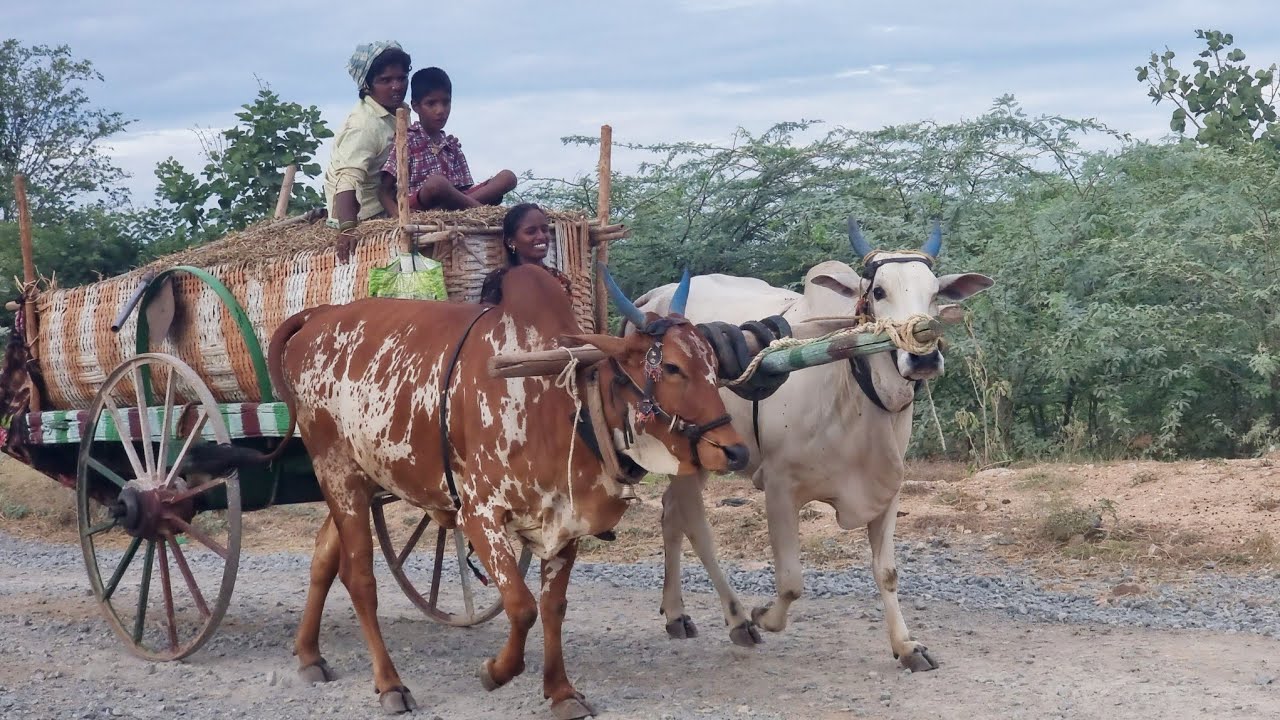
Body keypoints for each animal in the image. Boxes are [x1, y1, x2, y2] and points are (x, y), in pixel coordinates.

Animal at [199, 263, 748, 718]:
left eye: (714, 365)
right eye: (671, 367)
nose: (736, 452)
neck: (559, 402)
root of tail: (318, 315)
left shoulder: (564, 526)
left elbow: (552, 609)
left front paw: (561, 691)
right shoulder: (480, 514)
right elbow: (521, 606)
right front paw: (496, 672)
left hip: (359, 478)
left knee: (322, 557)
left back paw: (310, 656)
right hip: (337, 472)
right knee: (359, 579)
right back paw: (390, 684)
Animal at [635, 219, 993, 671]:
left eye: (934, 293)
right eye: (878, 291)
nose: (923, 357)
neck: (851, 385)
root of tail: (654, 299)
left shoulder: (888, 489)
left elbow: (887, 573)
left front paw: (907, 646)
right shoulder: (778, 486)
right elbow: (791, 582)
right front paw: (763, 615)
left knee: (671, 514)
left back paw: (676, 614)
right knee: (696, 525)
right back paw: (738, 619)